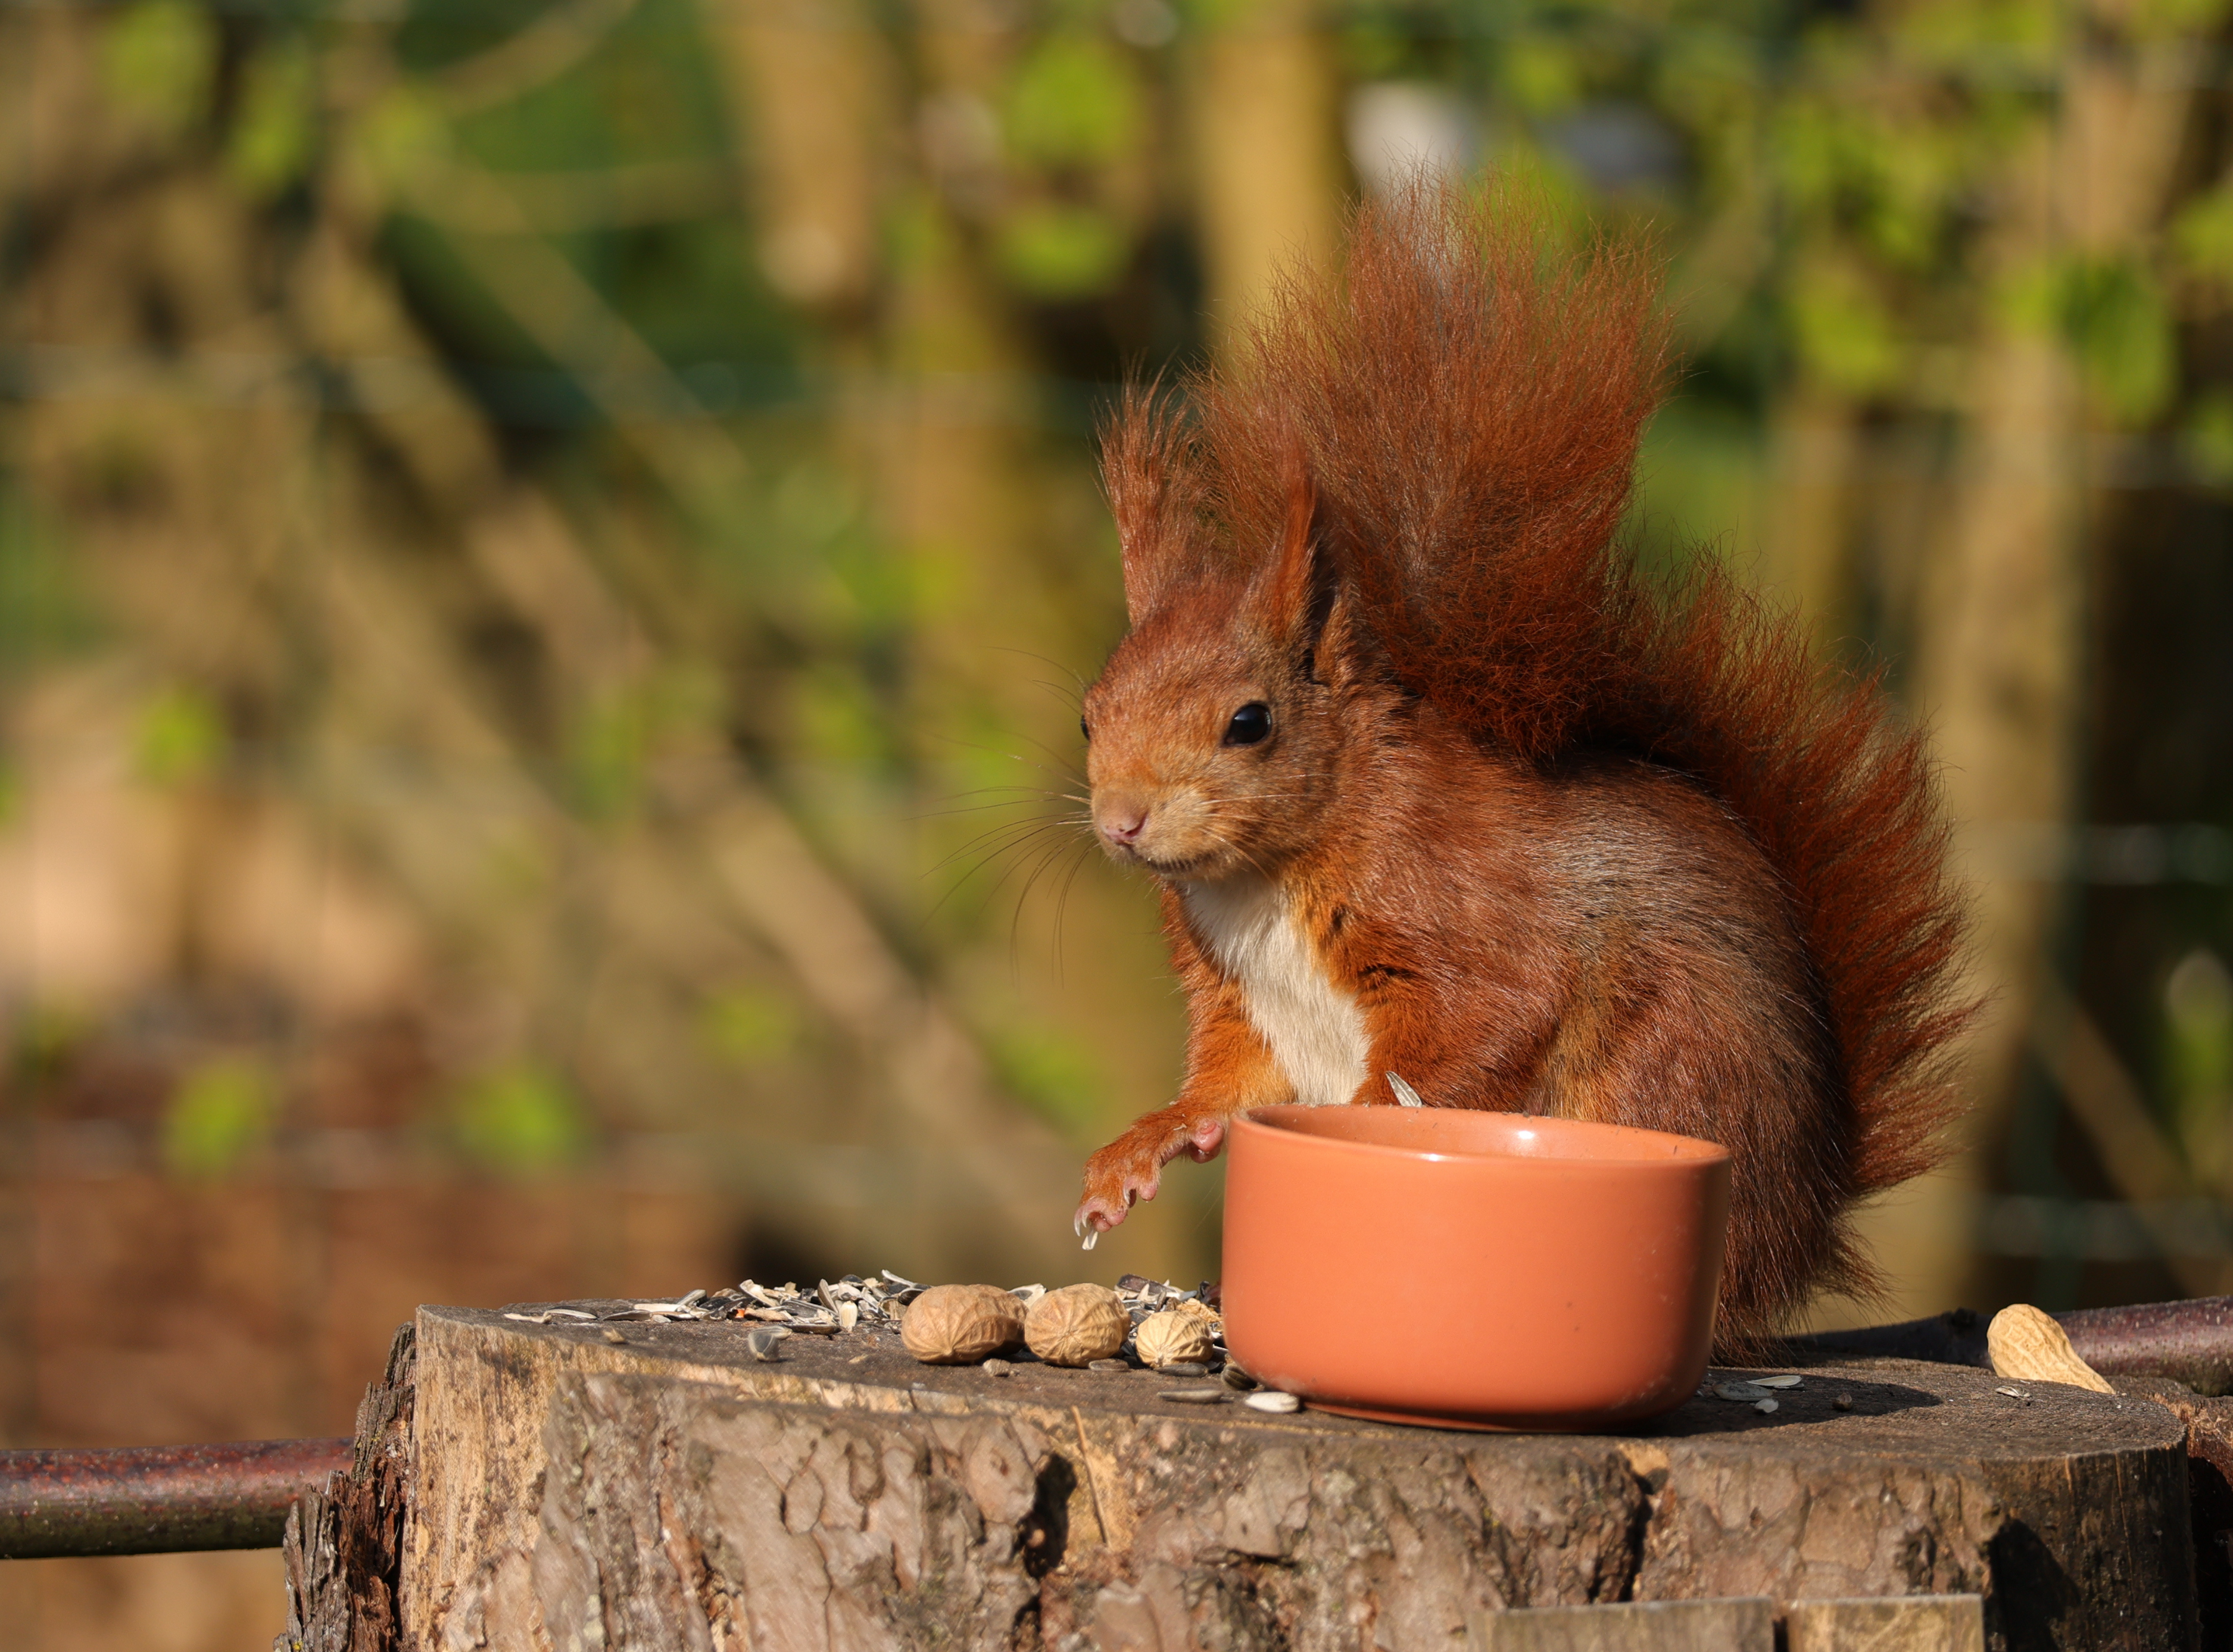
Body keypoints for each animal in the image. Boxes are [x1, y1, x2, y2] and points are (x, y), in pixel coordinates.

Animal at [1069, 185, 1972, 1354]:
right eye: (1087, 717)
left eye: (1249, 723)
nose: (1124, 821)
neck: (1266, 875)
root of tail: (1801, 1231)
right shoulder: (1240, 998)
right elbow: (1226, 1083)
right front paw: (1145, 1145)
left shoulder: (1461, 913)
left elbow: (1487, 1019)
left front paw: (1361, 1126)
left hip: (1660, 1071)